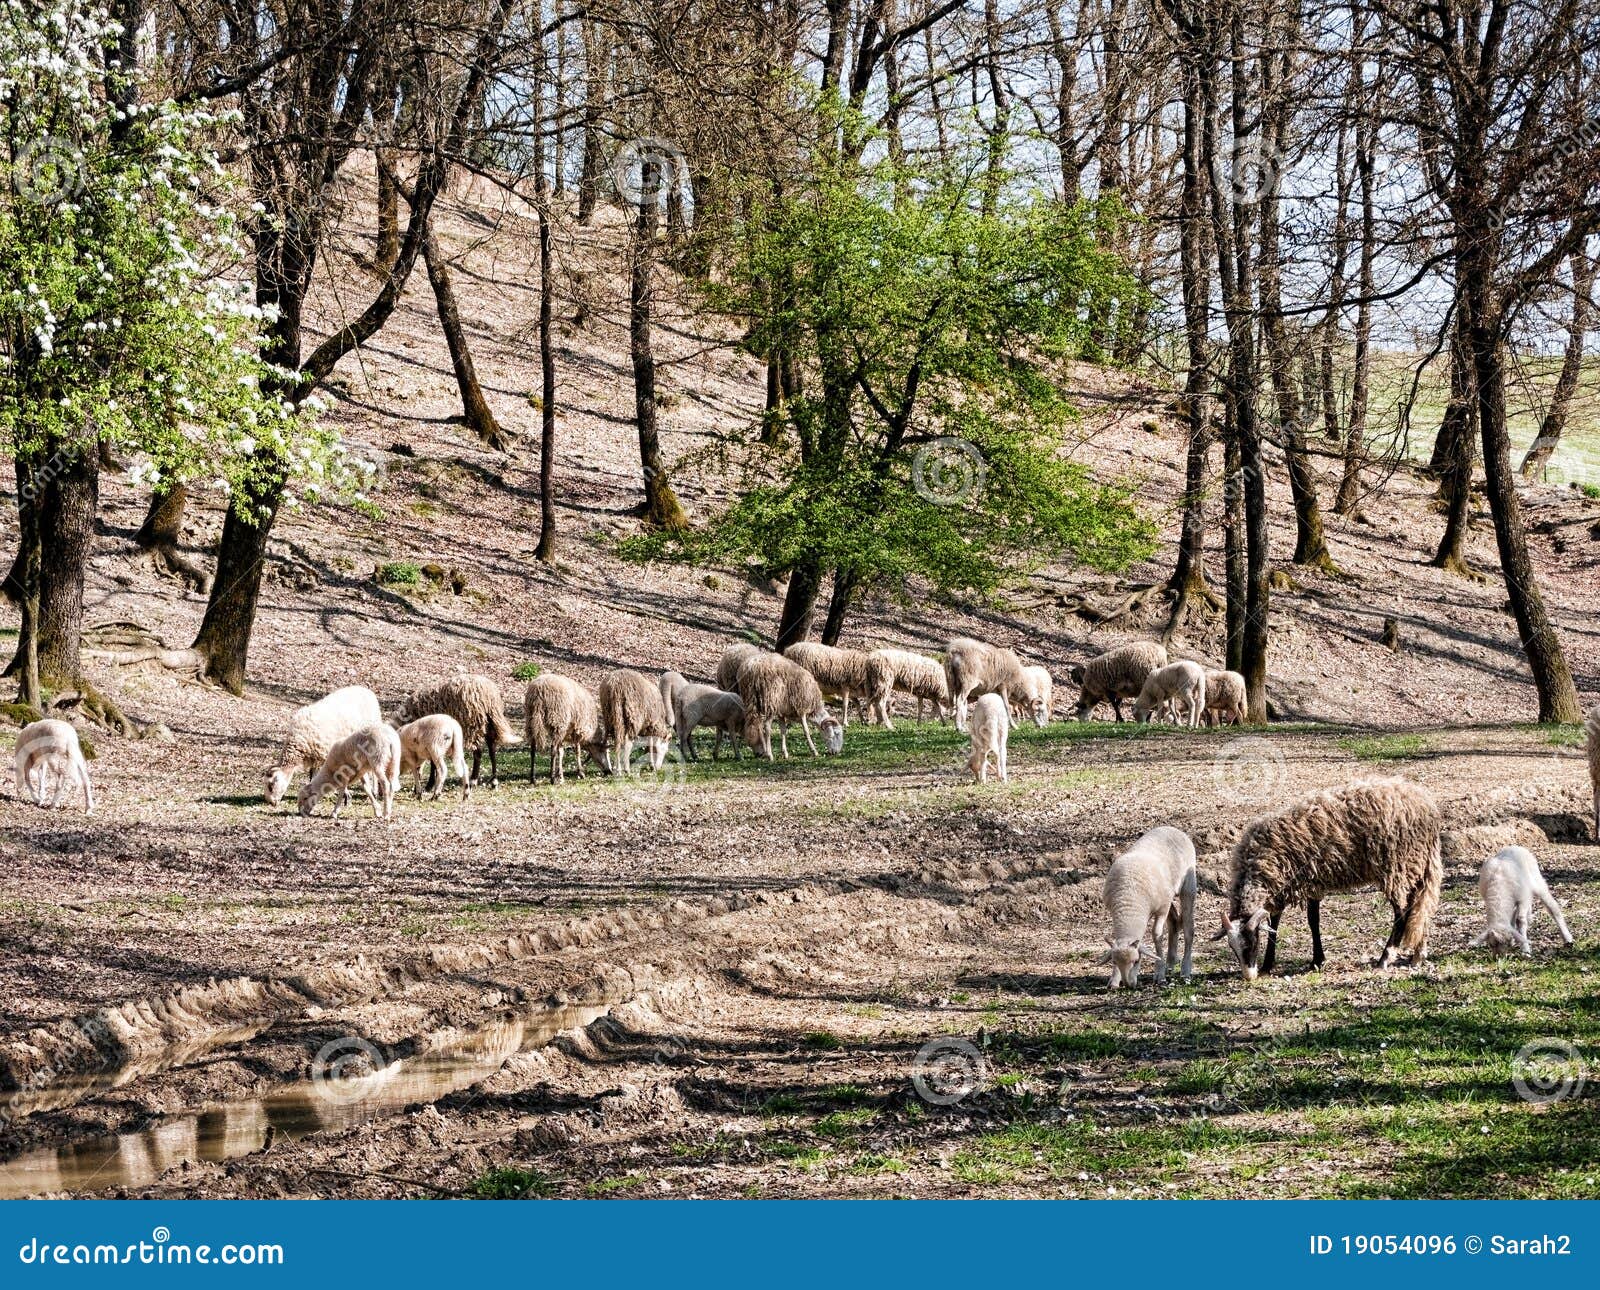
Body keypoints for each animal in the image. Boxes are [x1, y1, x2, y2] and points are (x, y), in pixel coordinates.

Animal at [1099, 826, 1197, 988]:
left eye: (1137, 961)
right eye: (1114, 962)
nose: (1128, 985)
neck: (1130, 901)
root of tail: (1172, 828)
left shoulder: (1162, 910)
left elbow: (1157, 935)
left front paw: (1160, 975)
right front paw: (1114, 980)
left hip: (1188, 886)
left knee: (1189, 929)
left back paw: (1185, 970)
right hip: (1168, 897)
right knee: (1174, 921)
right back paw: (1170, 962)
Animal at [1217, 777, 1442, 979]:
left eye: (1252, 941)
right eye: (1232, 947)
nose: (1249, 976)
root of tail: (1426, 806)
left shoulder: (1310, 882)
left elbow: (1312, 921)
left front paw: (1317, 960)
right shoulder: (1285, 887)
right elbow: (1276, 923)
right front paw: (1268, 965)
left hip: (1397, 867)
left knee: (1401, 913)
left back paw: (1385, 958)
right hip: (1417, 866)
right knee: (1420, 906)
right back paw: (1418, 955)